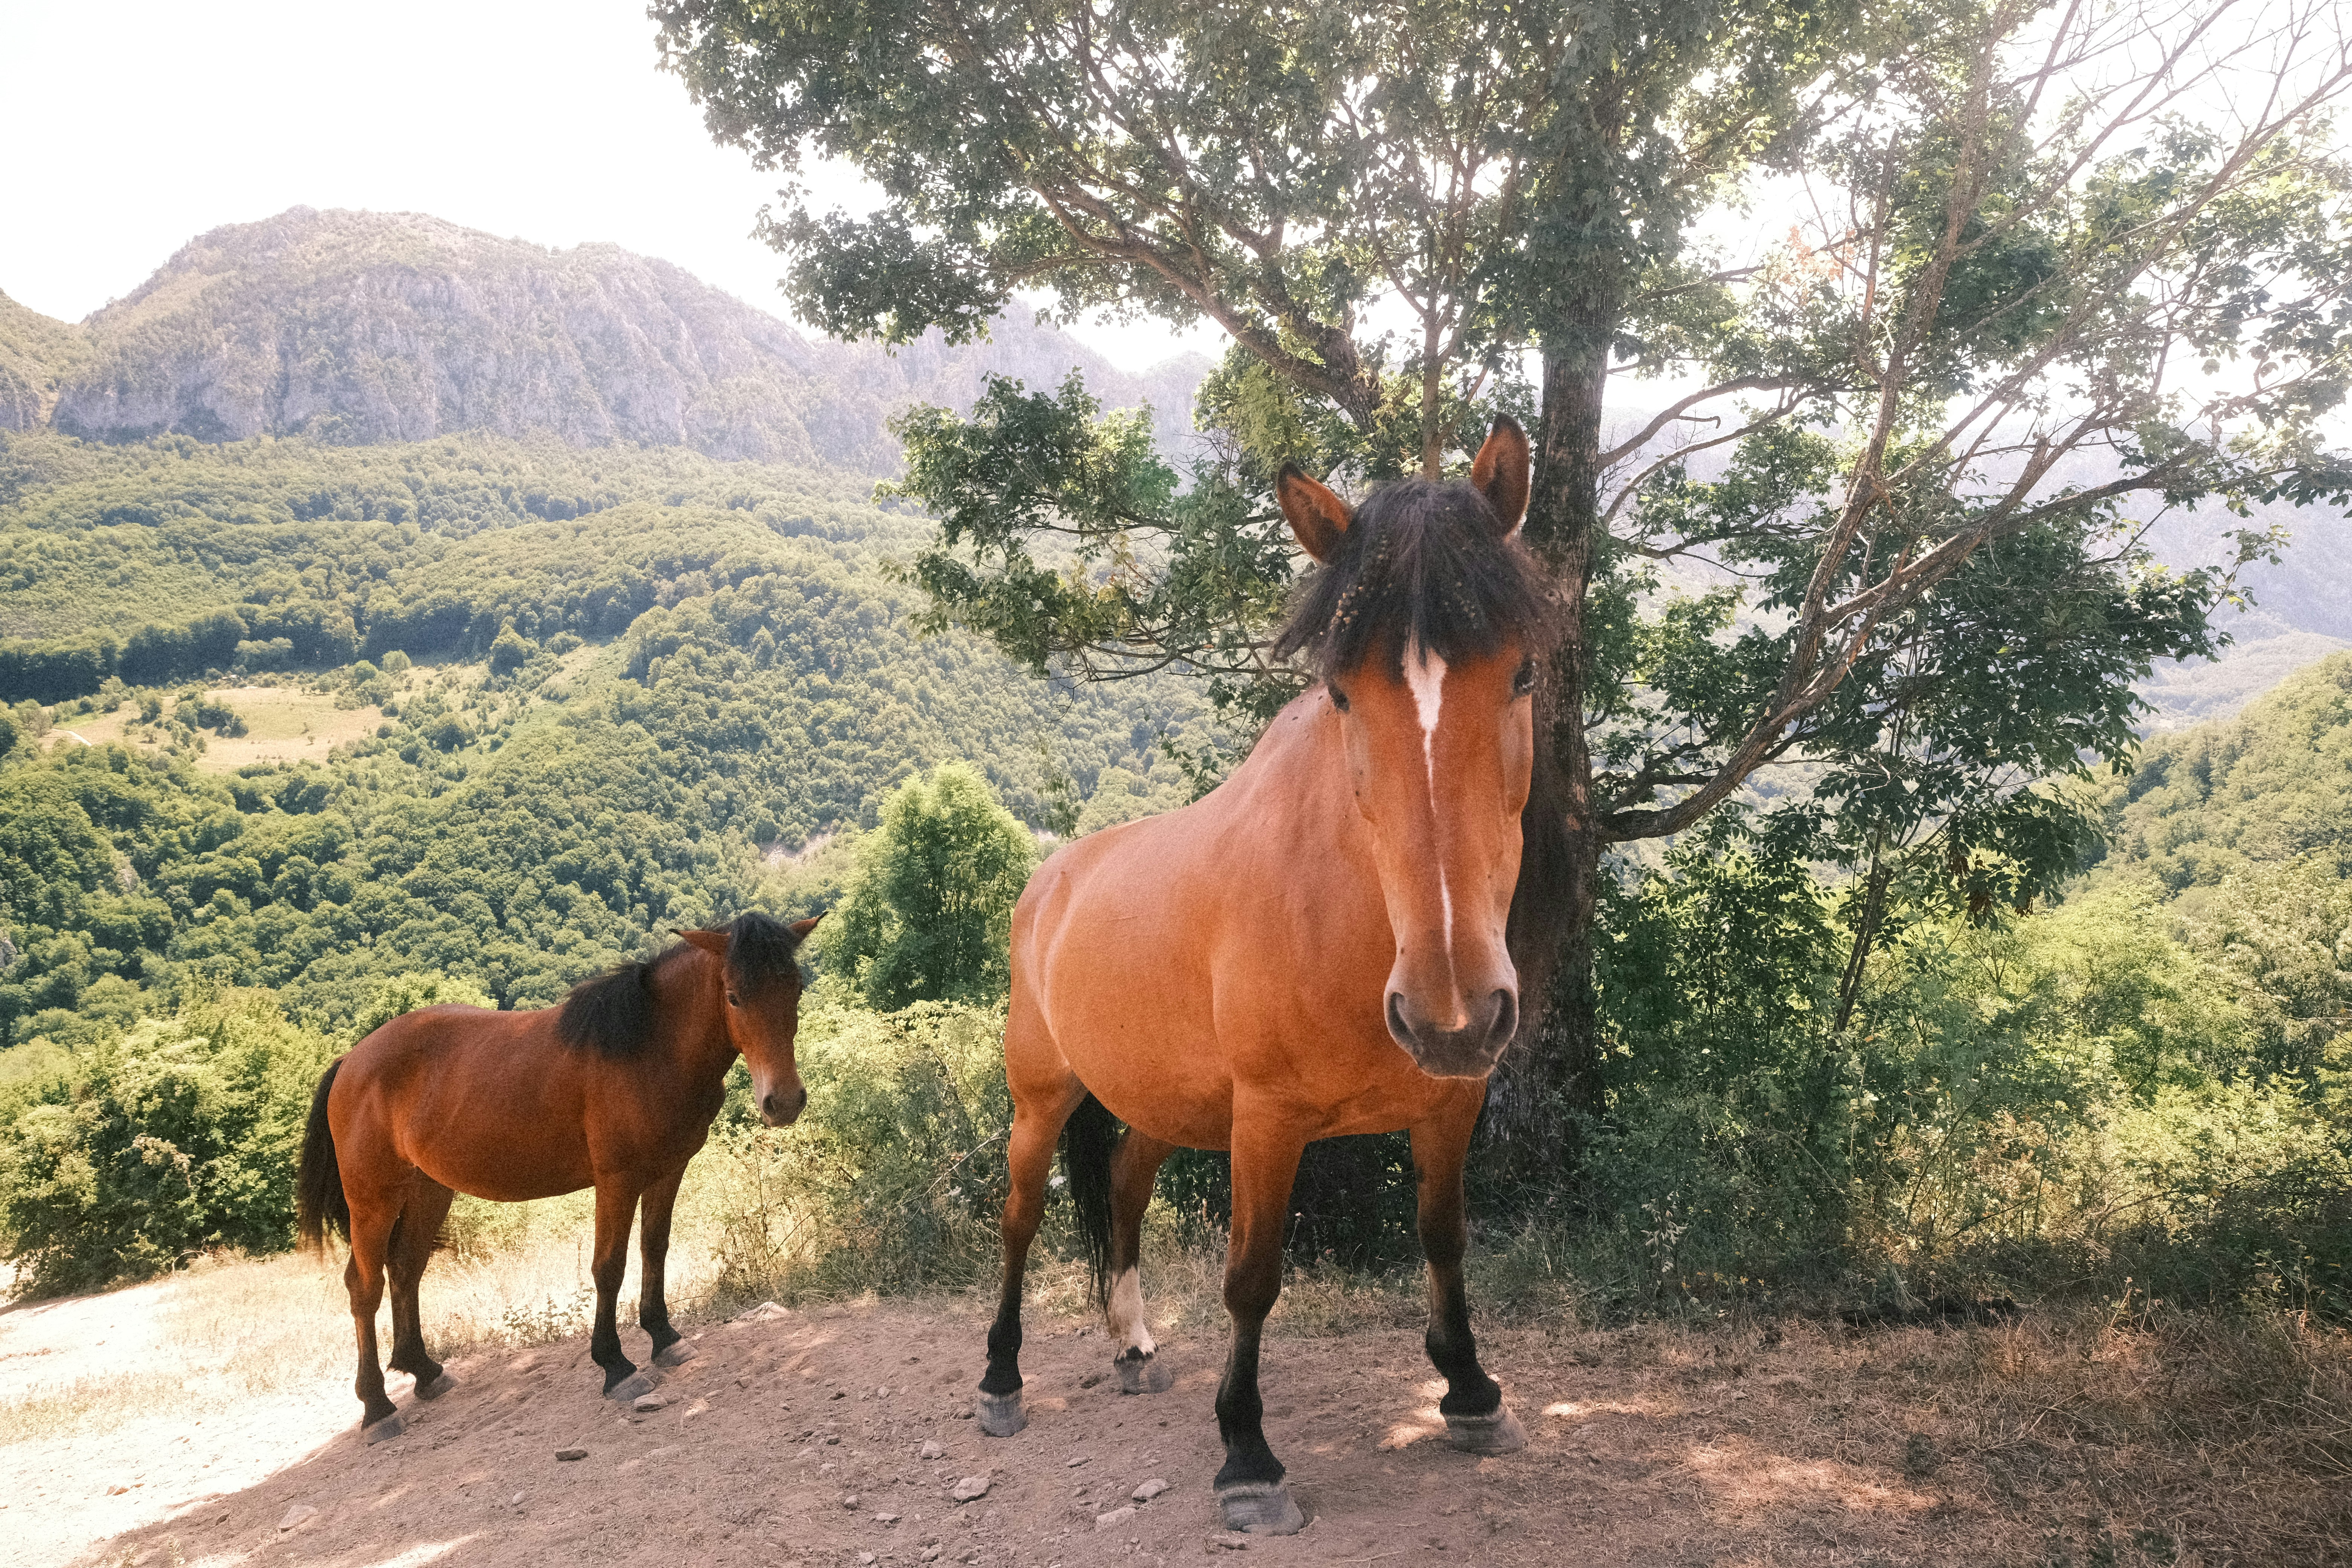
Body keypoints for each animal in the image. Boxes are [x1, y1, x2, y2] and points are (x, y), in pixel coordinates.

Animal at [295, 911, 821, 1441]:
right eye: (734, 995)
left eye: (795, 988)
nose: (783, 1101)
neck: (649, 1046)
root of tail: (351, 1061)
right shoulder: (617, 1180)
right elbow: (609, 1267)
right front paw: (616, 1366)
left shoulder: (669, 1171)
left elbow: (655, 1248)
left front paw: (665, 1338)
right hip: (373, 1200)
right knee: (364, 1287)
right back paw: (378, 1407)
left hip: (428, 1190)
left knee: (406, 1267)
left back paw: (425, 1371)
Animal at [975, 417, 1567, 1534]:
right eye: (1341, 694)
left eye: (1520, 677)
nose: (1450, 1016)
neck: (1345, 907)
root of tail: (1050, 879)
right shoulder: (1267, 1121)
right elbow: (1250, 1278)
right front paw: (1247, 1457)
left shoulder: (1451, 1105)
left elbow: (1445, 1239)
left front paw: (1470, 1391)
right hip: (1041, 1099)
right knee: (1021, 1218)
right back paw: (999, 1380)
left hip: (1160, 1103)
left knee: (1125, 1189)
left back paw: (1134, 1347)